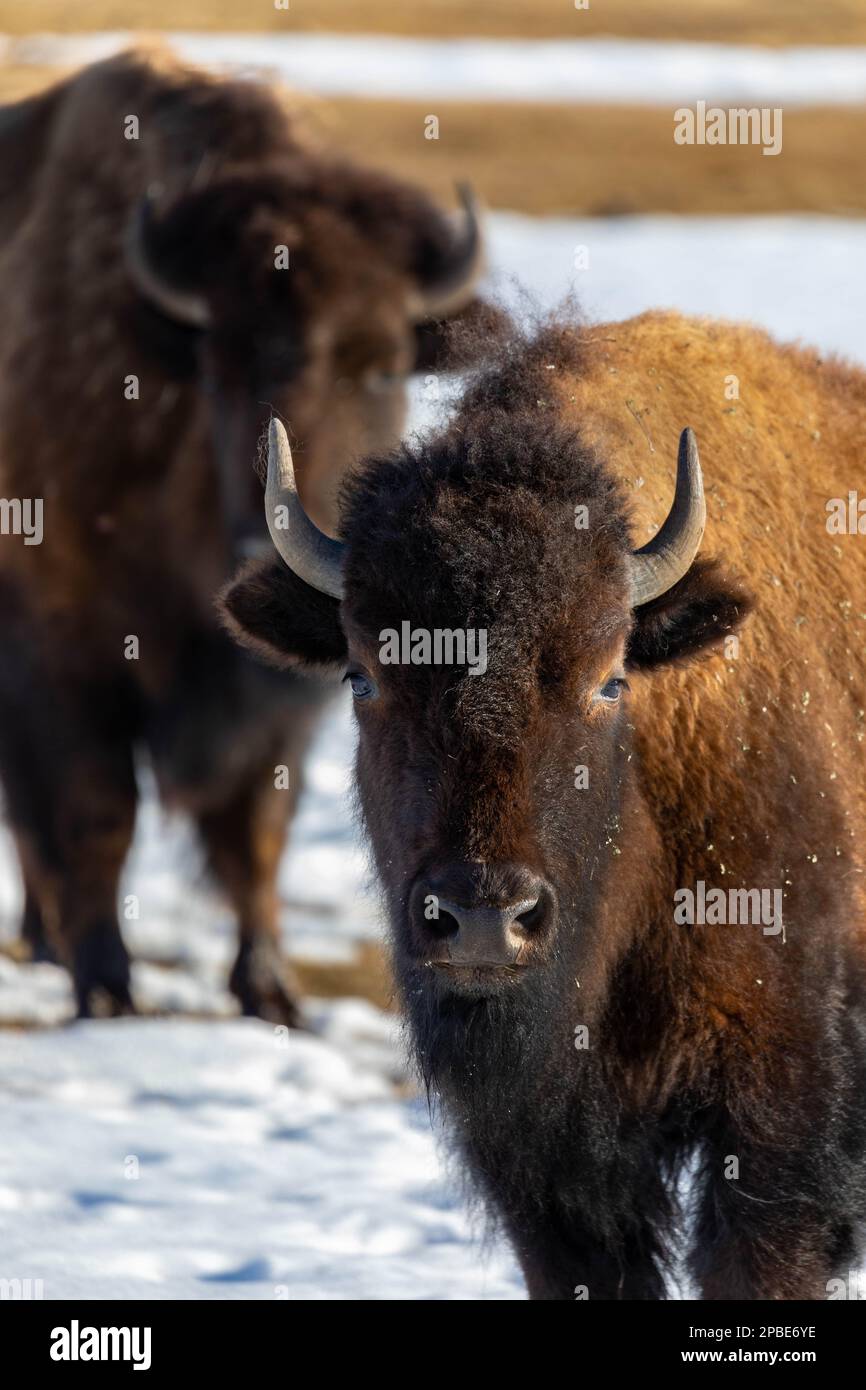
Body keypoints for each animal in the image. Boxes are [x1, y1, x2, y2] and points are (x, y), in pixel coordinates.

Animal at [0, 47, 488, 1021]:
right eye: (223, 361)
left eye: (383, 365)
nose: (287, 548)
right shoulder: (63, 657)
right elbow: (97, 811)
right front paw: (106, 988)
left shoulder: (282, 706)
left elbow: (258, 830)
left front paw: (271, 989)